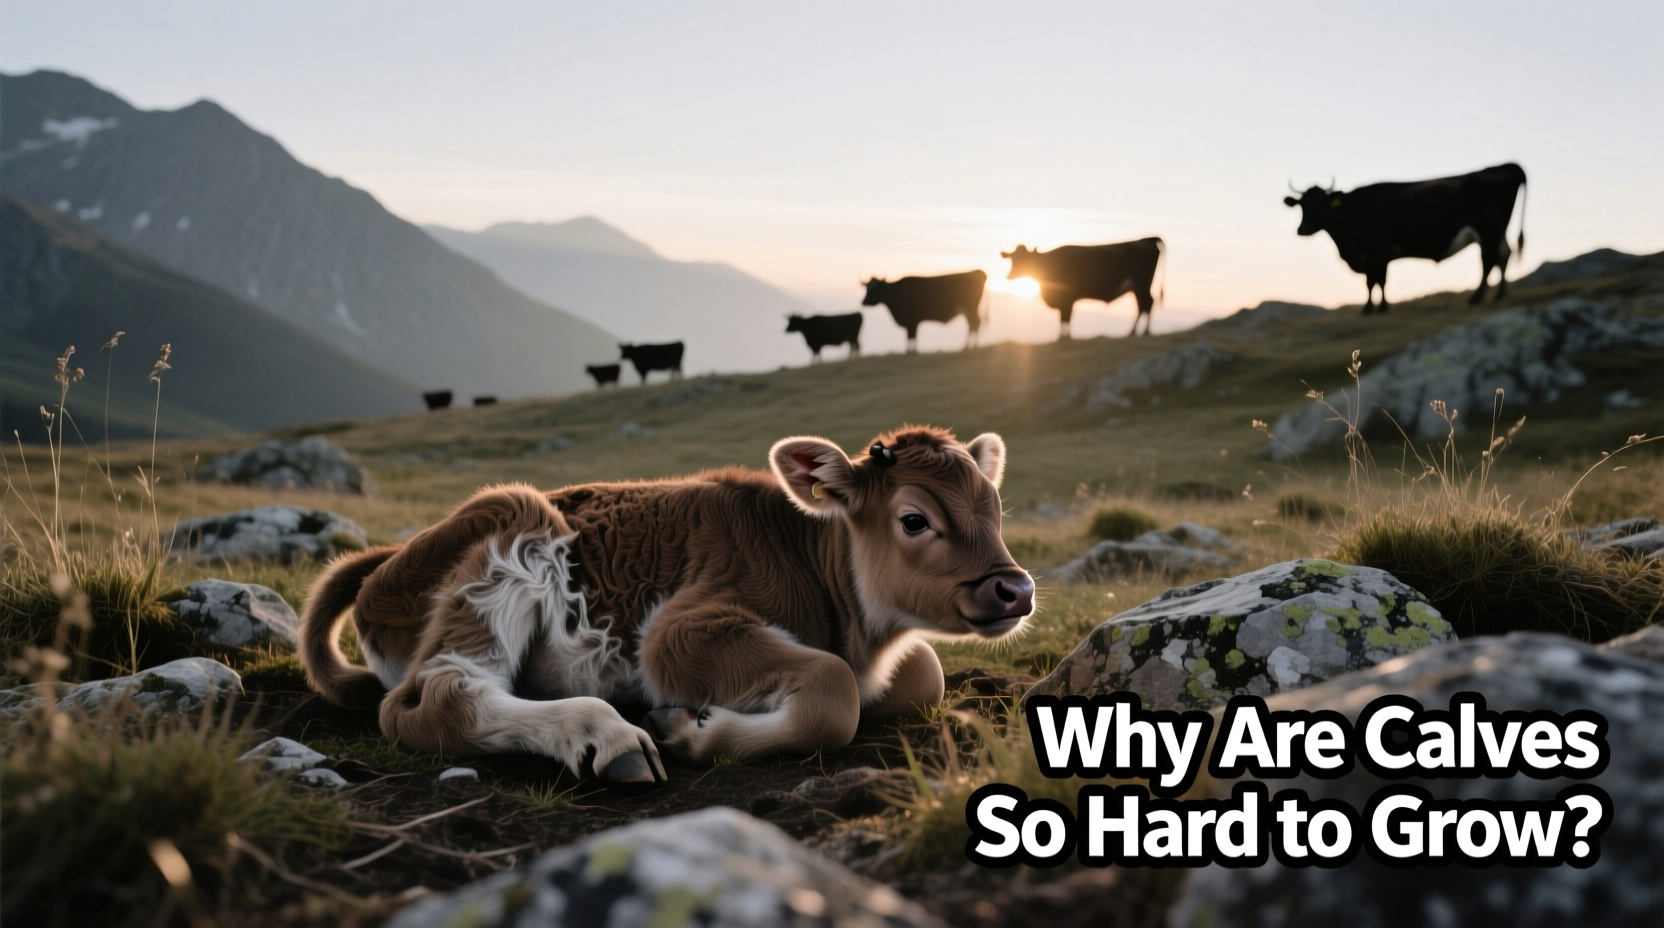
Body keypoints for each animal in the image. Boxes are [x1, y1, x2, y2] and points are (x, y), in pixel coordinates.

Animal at [298, 426, 1034, 783]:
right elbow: (832, 688)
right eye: (914, 519)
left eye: (997, 508)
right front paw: (692, 730)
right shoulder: (681, 632)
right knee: (434, 699)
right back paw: (609, 738)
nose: (1015, 589)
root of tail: (386, 562)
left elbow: (925, 673)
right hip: (510, 527)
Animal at [1001, 238, 1166, 339]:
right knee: (1142, 305)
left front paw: (1065, 338)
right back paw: (1134, 332)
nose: (1009, 276)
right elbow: (1062, 319)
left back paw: (1143, 332)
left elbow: (1066, 318)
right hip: (1137, 288)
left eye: (1024, 258)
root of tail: (1147, 240)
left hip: (1142, 284)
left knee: (1148, 303)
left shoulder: (1068, 299)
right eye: (1013, 259)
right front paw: (1061, 337)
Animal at [1283, 163, 1527, 313]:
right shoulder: (1372, 255)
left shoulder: (1378, 251)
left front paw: (1378, 309)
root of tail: (1505, 166)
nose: (1303, 229)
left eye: (1322, 204)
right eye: (1302, 205)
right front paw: (1370, 309)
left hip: (1489, 230)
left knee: (1489, 261)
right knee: (1504, 255)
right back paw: (1499, 296)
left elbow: (1377, 281)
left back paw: (1476, 298)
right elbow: (1371, 282)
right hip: (1498, 231)